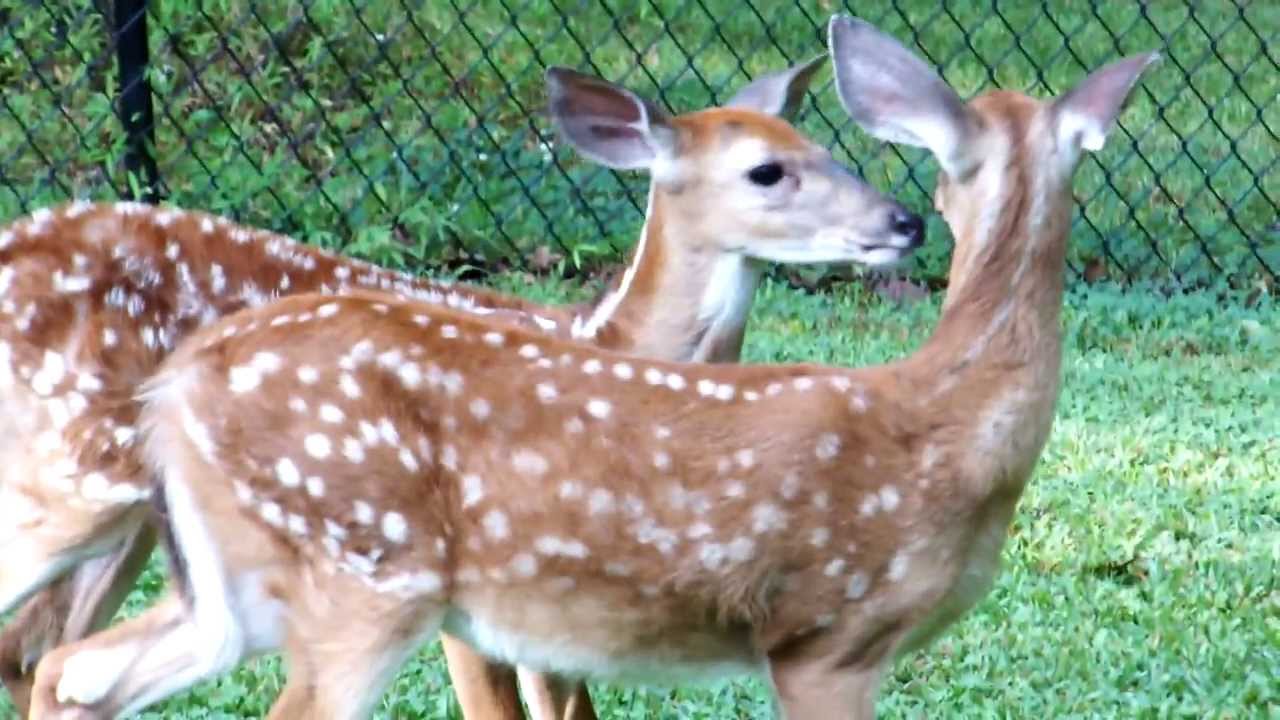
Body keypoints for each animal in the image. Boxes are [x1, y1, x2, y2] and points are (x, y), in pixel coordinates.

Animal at [25, 15, 1158, 719]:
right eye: (768, 169)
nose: (903, 222)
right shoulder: (823, 636)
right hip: (341, 567)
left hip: (220, 578)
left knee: (68, 666)